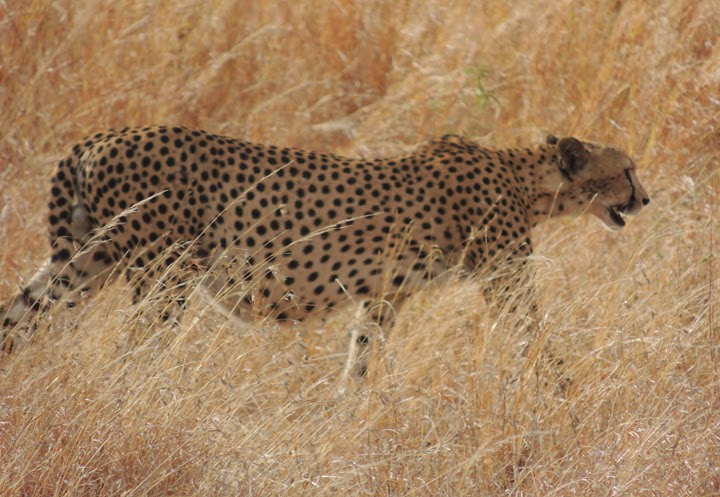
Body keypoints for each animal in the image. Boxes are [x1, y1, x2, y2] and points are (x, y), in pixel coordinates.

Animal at [0, 126, 650, 356]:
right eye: (627, 170)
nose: (647, 198)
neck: (525, 177)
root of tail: (98, 138)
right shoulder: (506, 280)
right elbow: (535, 340)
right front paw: (559, 397)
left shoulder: (385, 294)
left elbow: (361, 357)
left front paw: (350, 412)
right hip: (161, 274)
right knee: (134, 350)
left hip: (87, 262)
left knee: (17, 315)